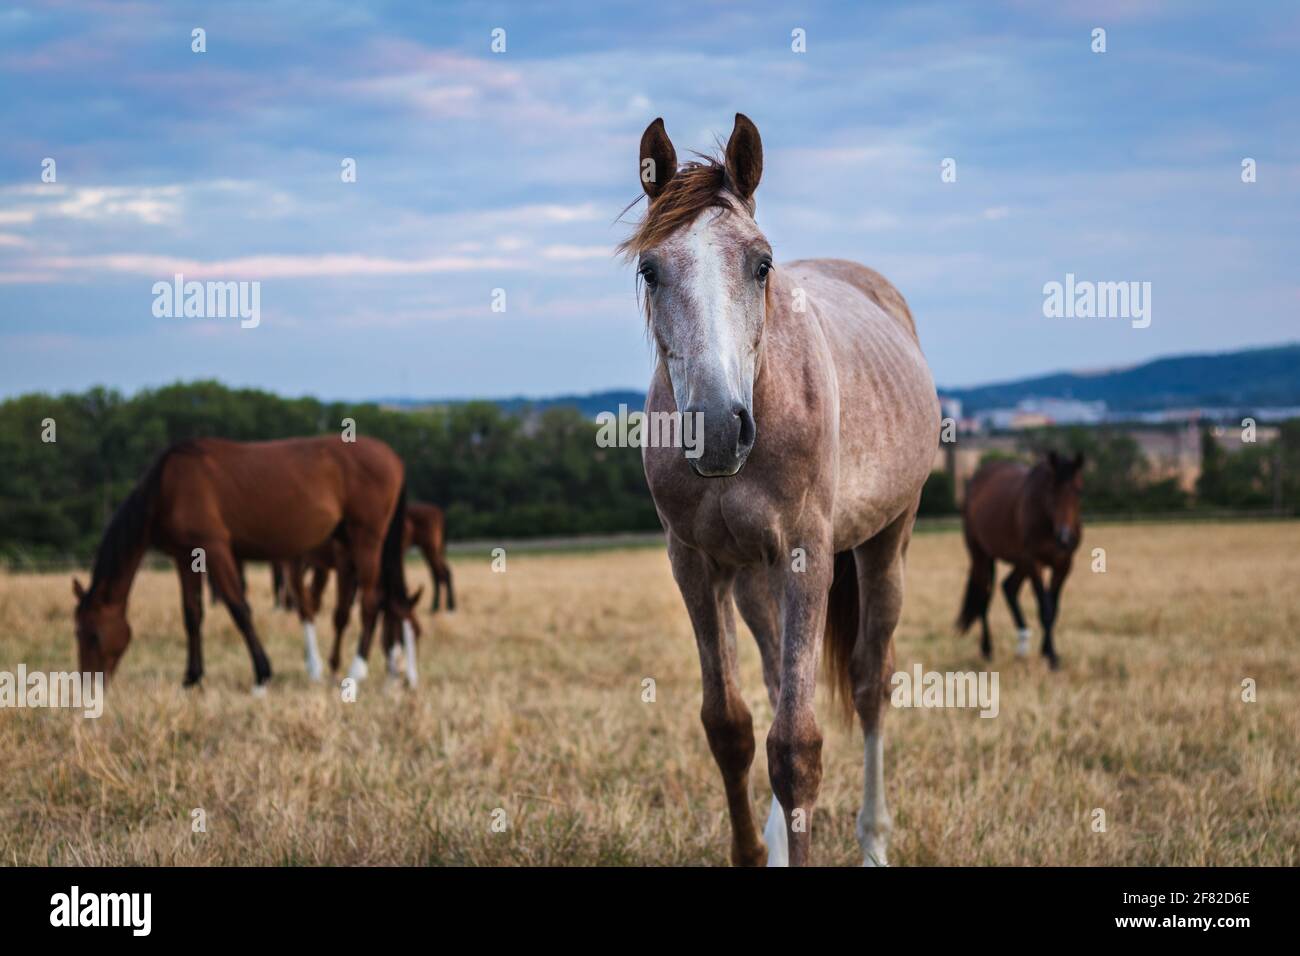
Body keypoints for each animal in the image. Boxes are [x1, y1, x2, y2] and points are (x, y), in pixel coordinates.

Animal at [72, 435, 418, 691]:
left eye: (92, 635)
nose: (89, 685)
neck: (167, 487)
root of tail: (396, 459)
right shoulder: (185, 557)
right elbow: (192, 614)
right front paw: (191, 678)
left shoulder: (215, 548)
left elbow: (239, 609)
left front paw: (262, 676)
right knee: (392, 601)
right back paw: (395, 675)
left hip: (366, 540)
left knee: (372, 601)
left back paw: (356, 671)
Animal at [625, 114, 940, 866]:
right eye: (650, 269)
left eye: (761, 263)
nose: (716, 426)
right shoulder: (696, 565)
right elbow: (731, 727)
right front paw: (754, 848)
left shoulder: (805, 557)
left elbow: (797, 748)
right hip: (752, 580)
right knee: (774, 684)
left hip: (887, 544)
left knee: (871, 682)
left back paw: (873, 842)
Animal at [956, 451, 1084, 669]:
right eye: (1052, 491)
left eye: (1078, 491)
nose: (1065, 537)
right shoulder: (1035, 562)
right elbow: (1045, 609)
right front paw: (1051, 656)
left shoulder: (1064, 564)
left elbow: (1054, 609)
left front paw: (1048, 652)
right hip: (981, 555)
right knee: (983, 596)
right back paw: (987, 649)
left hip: (1020, 562)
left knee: (1008, 587)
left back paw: (1022, 644)